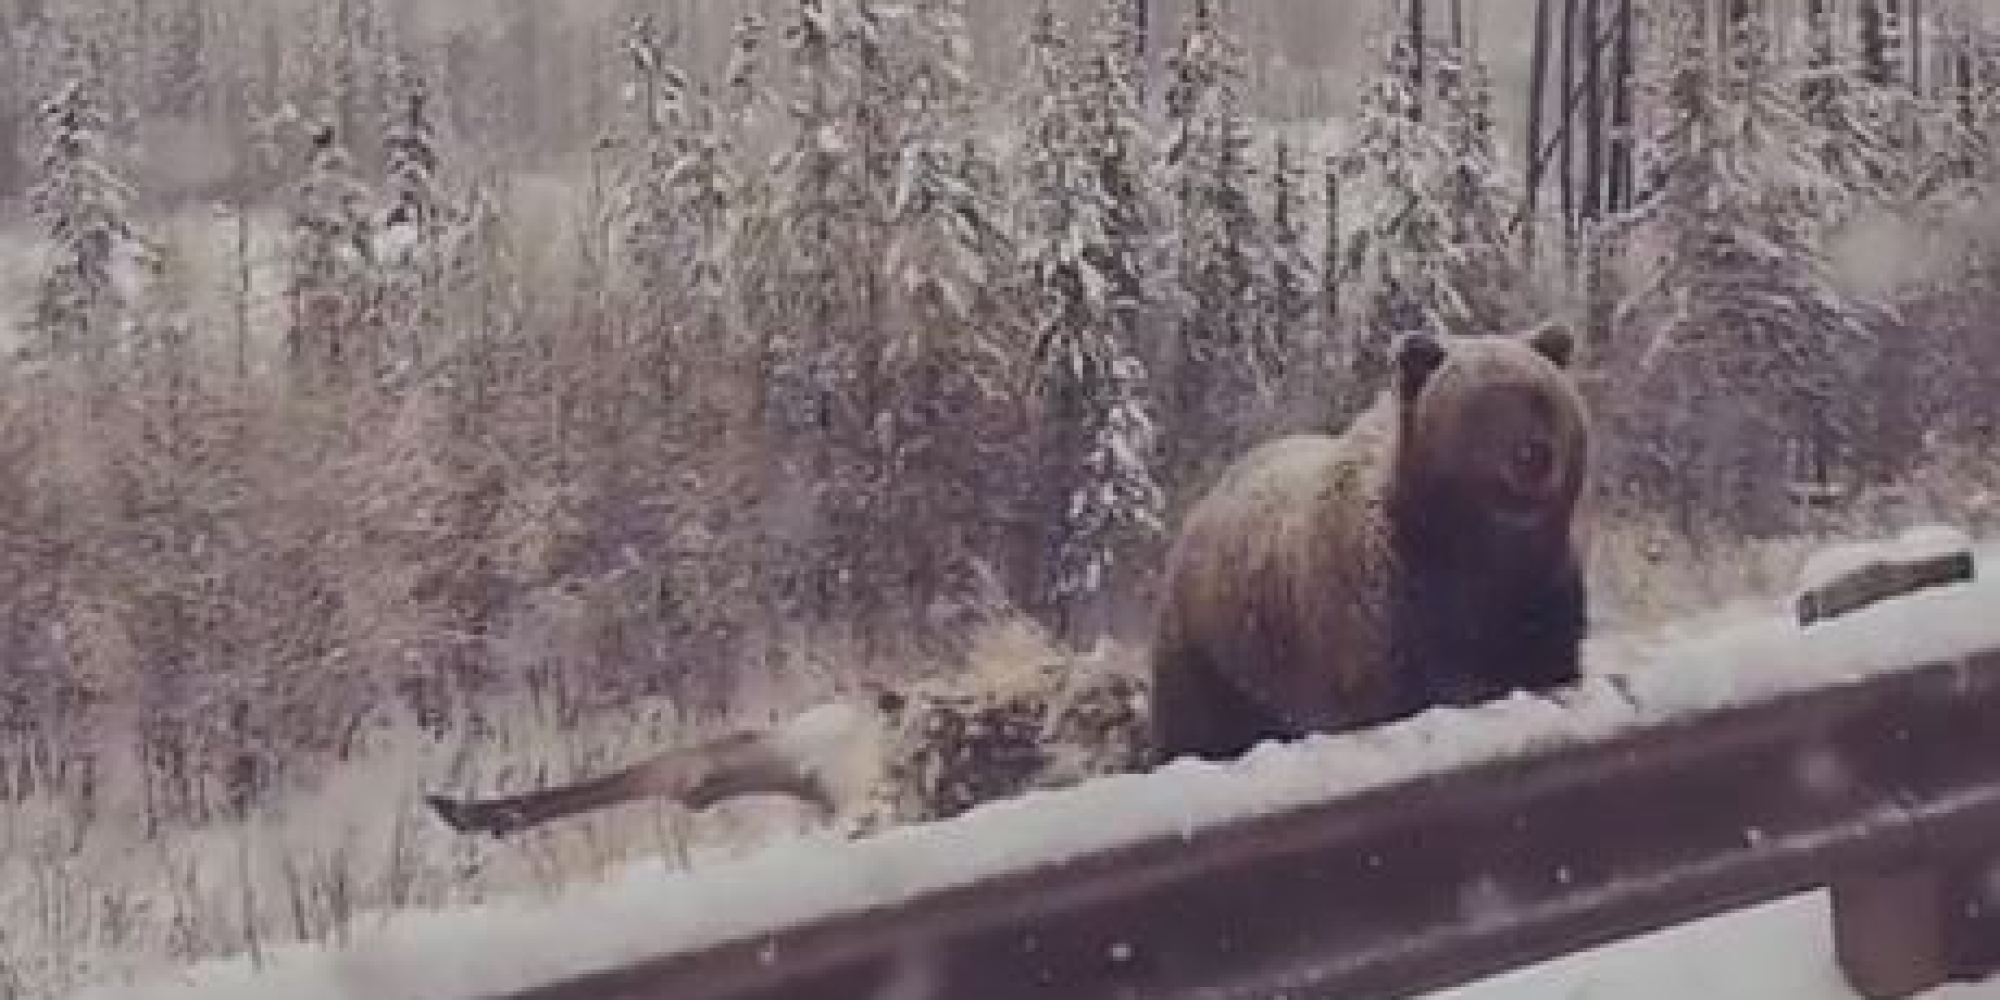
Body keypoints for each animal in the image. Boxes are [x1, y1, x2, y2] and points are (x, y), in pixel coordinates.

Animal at [1149, 322, 1591, 765]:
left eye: (1542, 396)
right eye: (1480, 405)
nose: (1533, 455)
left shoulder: (1540, 604)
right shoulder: (1386, 625)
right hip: (1215, 661)